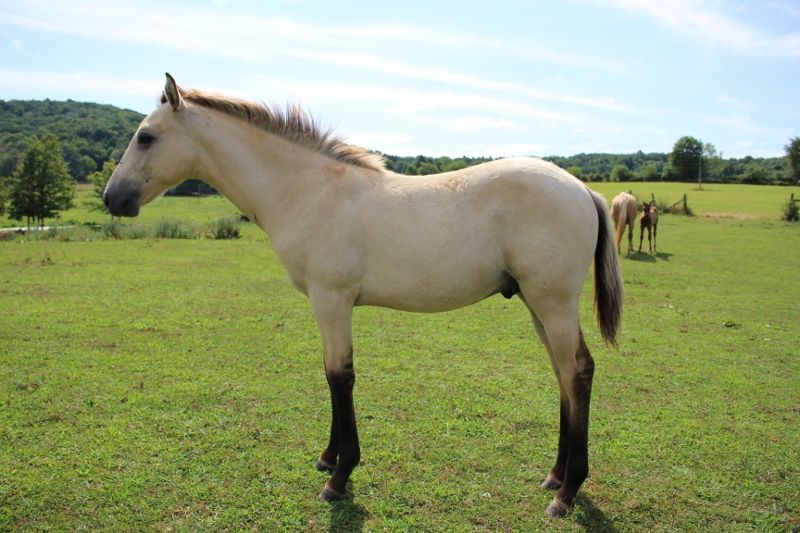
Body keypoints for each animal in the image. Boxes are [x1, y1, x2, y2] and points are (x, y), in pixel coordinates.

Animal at [103, 74, 623, 518]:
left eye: (145, 137)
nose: (112, 198)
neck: (308, 190)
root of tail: (584, 190)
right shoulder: (326, 303)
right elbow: (330, 374)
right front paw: (328, 457)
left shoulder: (331, 299)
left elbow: (340, 376)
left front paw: (339, 476)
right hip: (538, 304)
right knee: (563, 375)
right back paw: (555, 476)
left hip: (553, 302)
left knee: (578, 372)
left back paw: (568, 491)